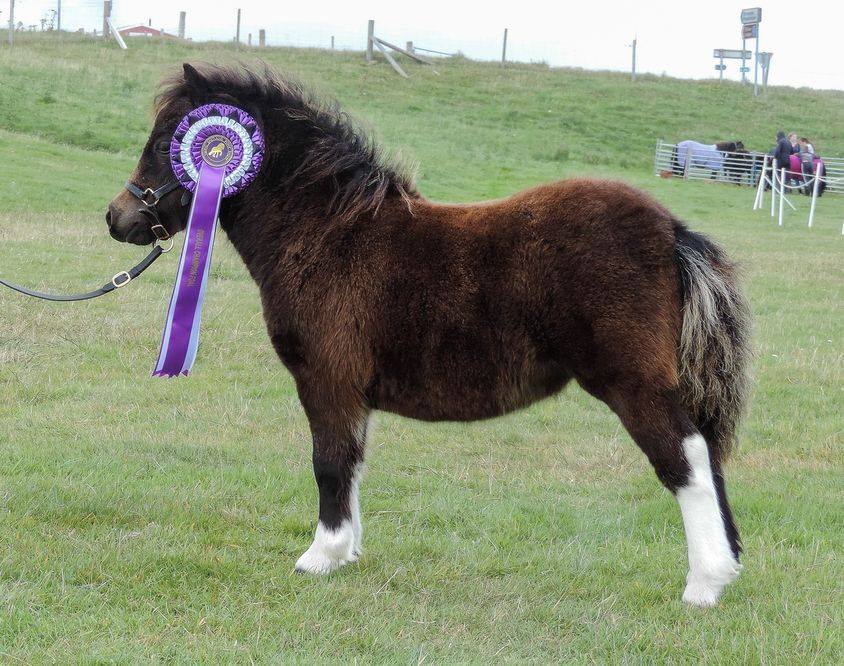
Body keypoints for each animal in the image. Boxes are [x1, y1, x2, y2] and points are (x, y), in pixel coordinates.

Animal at [106, 64, 752, 607]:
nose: (118, 218)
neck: (329, 234)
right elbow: (353, 461)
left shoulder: (326, 380)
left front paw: (320, 556)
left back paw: (705, 584)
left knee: (687, 459)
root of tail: (672, 232)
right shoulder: (351, 393)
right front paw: (347, 553)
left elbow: (329, 462)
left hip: (633, 383)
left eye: (166, 142)